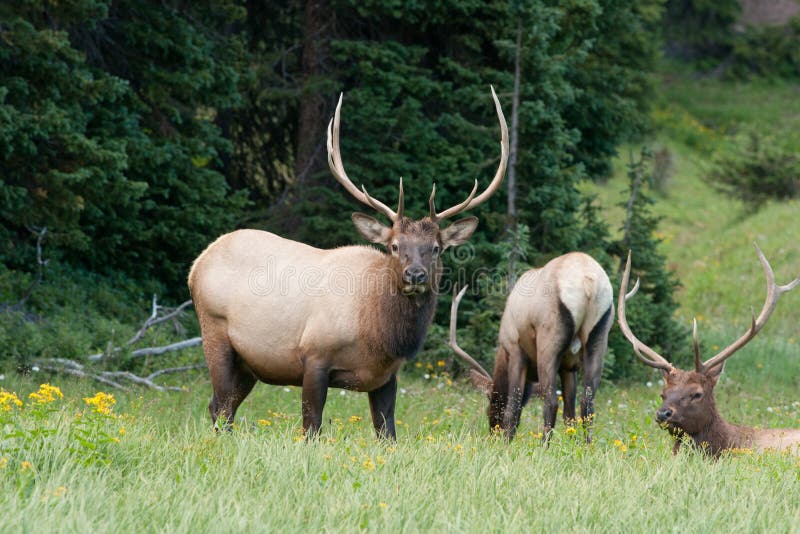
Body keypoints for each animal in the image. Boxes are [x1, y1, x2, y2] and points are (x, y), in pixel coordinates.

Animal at [188, 88, 508, 439]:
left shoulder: (386, 376)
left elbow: (387, 433)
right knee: (220, 407)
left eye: (436, 248)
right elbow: (311, 427)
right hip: (215, 333)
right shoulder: (314, 356)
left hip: (250, 363)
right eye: (395, 245)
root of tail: (198, 262)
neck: (380, 334)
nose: (415, 274)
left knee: (222, 406)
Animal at [448, 252, 614, 441]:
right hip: (598, 338)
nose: (493, 435)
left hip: (548, 345)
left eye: (489, 407)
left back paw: (543, 445)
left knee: (551, 402)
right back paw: (587, 445)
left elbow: (513, 409)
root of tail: (588, 282)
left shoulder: (515, 350)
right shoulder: (568, 367)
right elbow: (569, 416)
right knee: (587, 403)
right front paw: (572, 444)